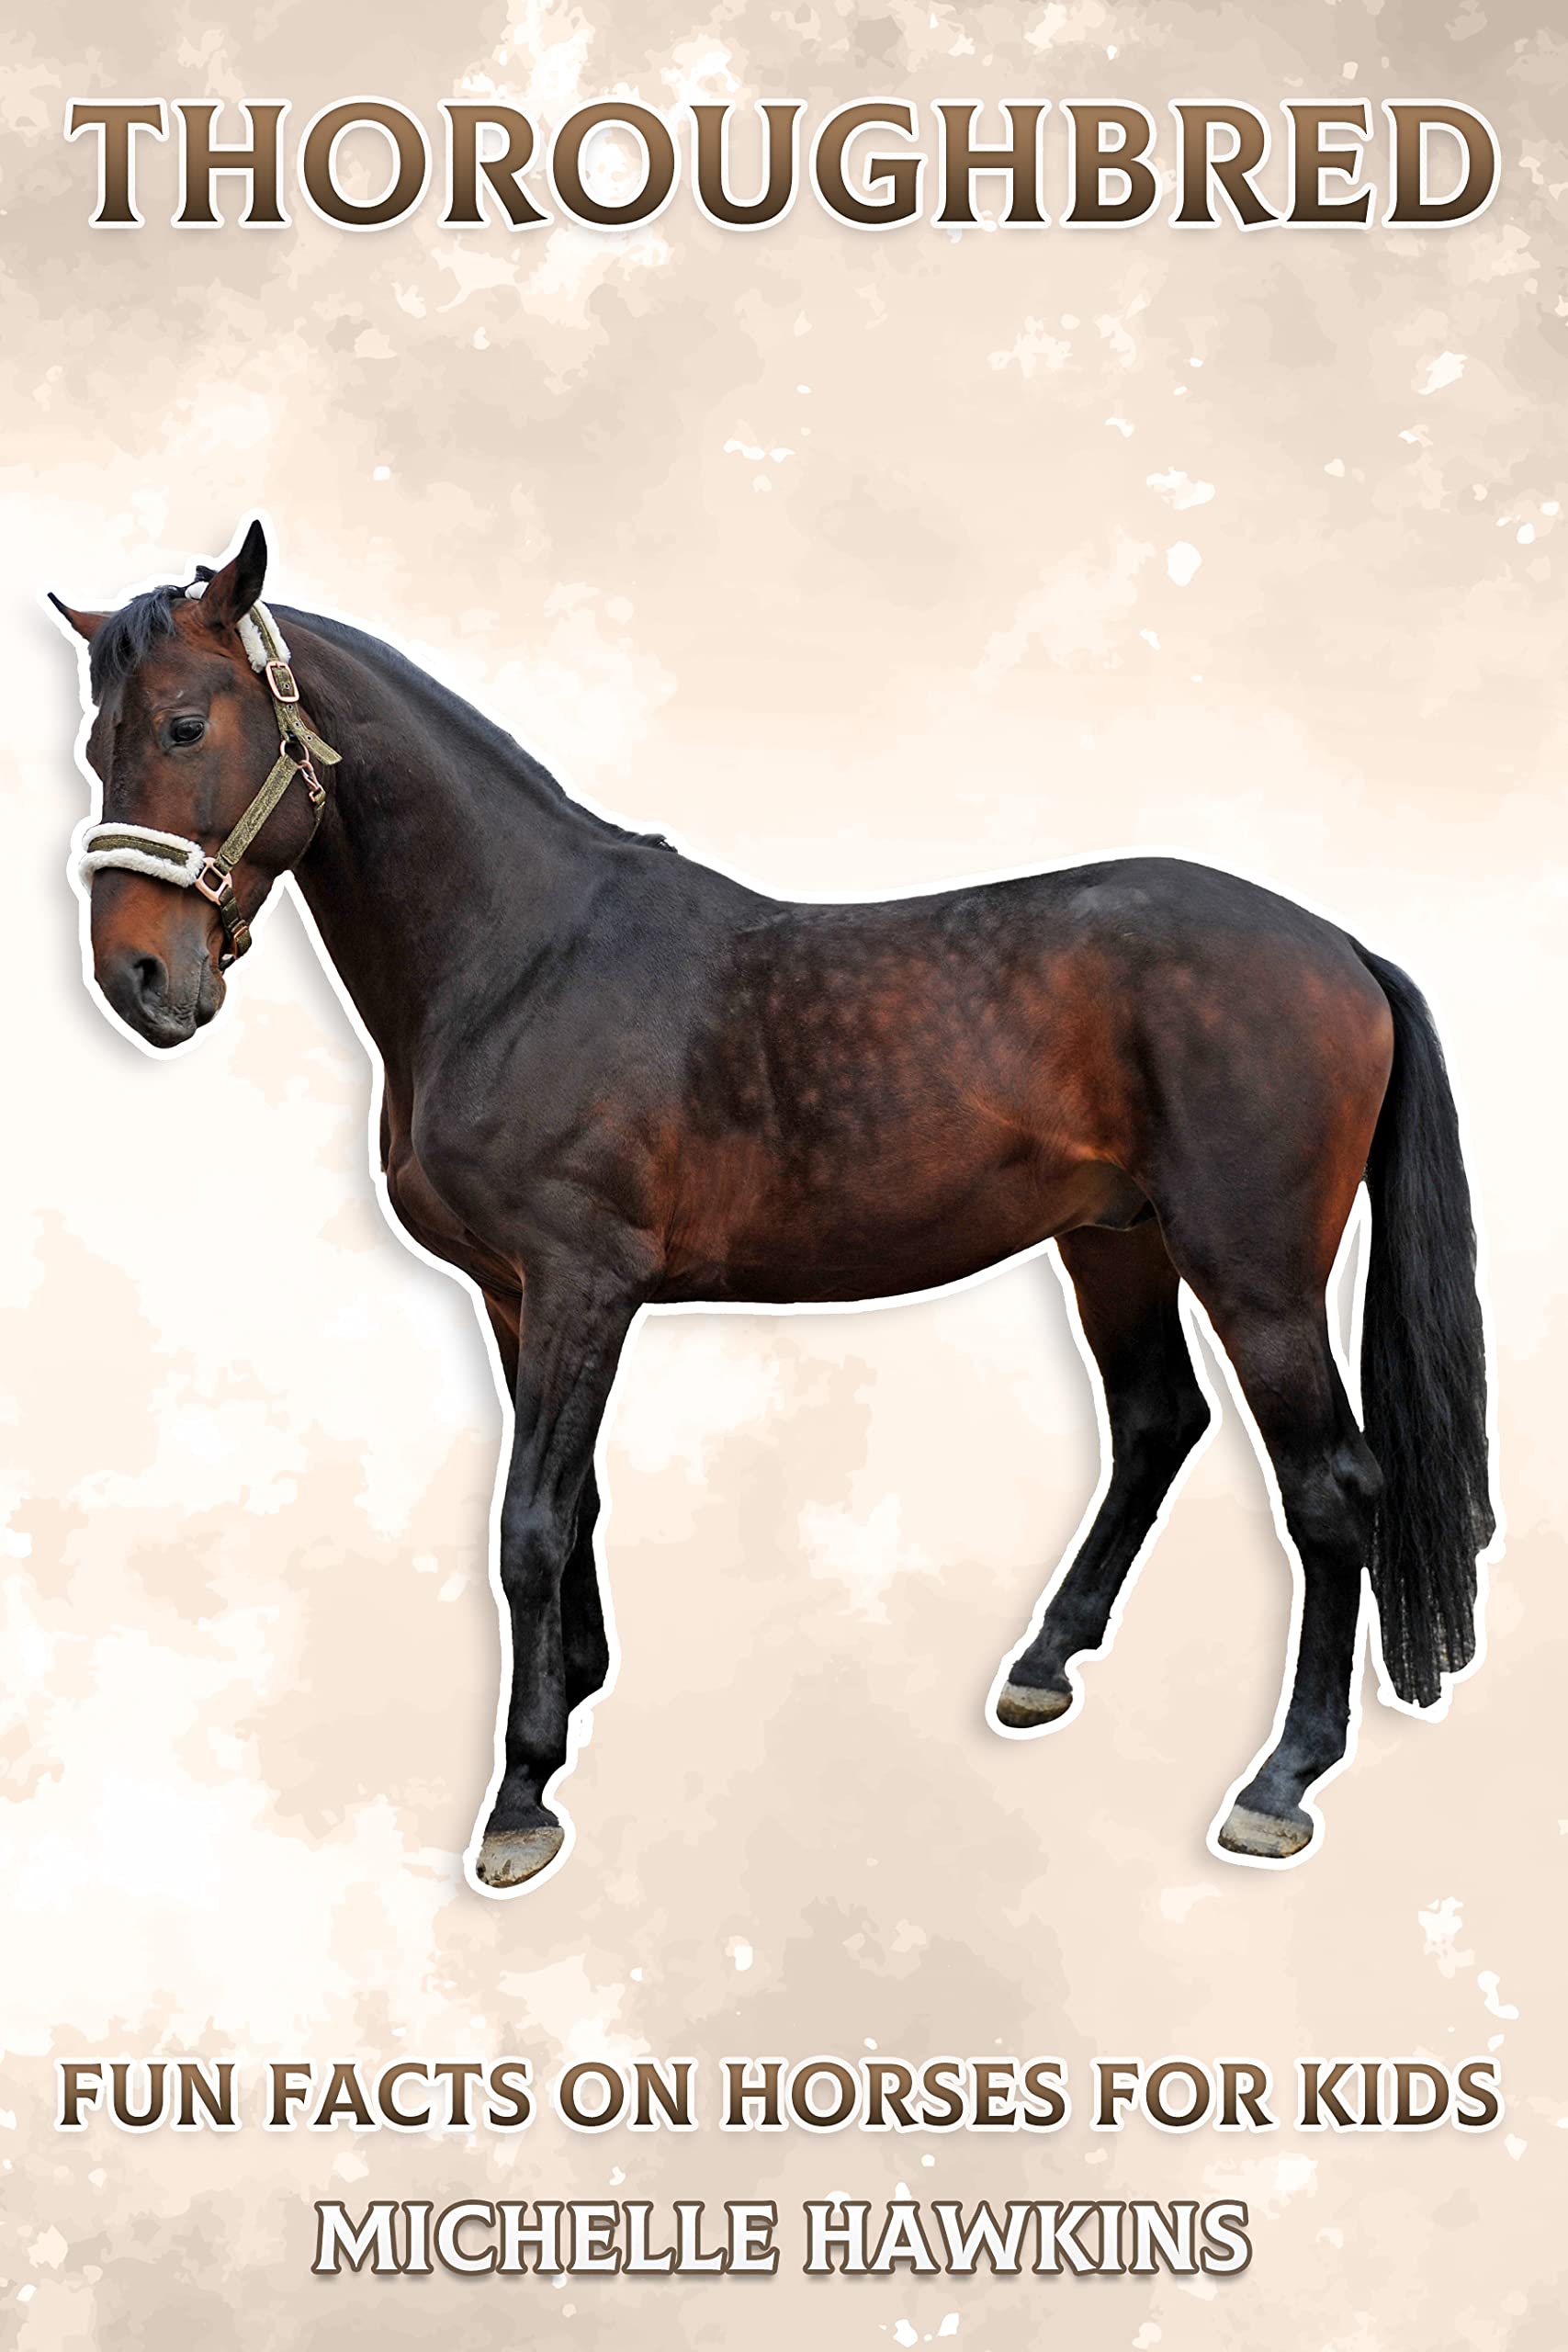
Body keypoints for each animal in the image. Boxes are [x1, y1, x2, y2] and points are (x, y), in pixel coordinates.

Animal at [51, 520, 1497, 1891]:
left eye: (185, 725)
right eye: (93, 743)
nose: (138, 979)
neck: (523, 957)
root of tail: (1338, 949)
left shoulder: (583, 1284)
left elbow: (526, 1522)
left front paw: (521, 1795)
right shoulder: (514, 1297)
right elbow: (569, 1501)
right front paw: (575, 1696)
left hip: (1254, 1275)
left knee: (1330, 1487)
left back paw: (1281, 1780)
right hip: (1114, 1242)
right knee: (1156, 1425)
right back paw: (1044, 1666)